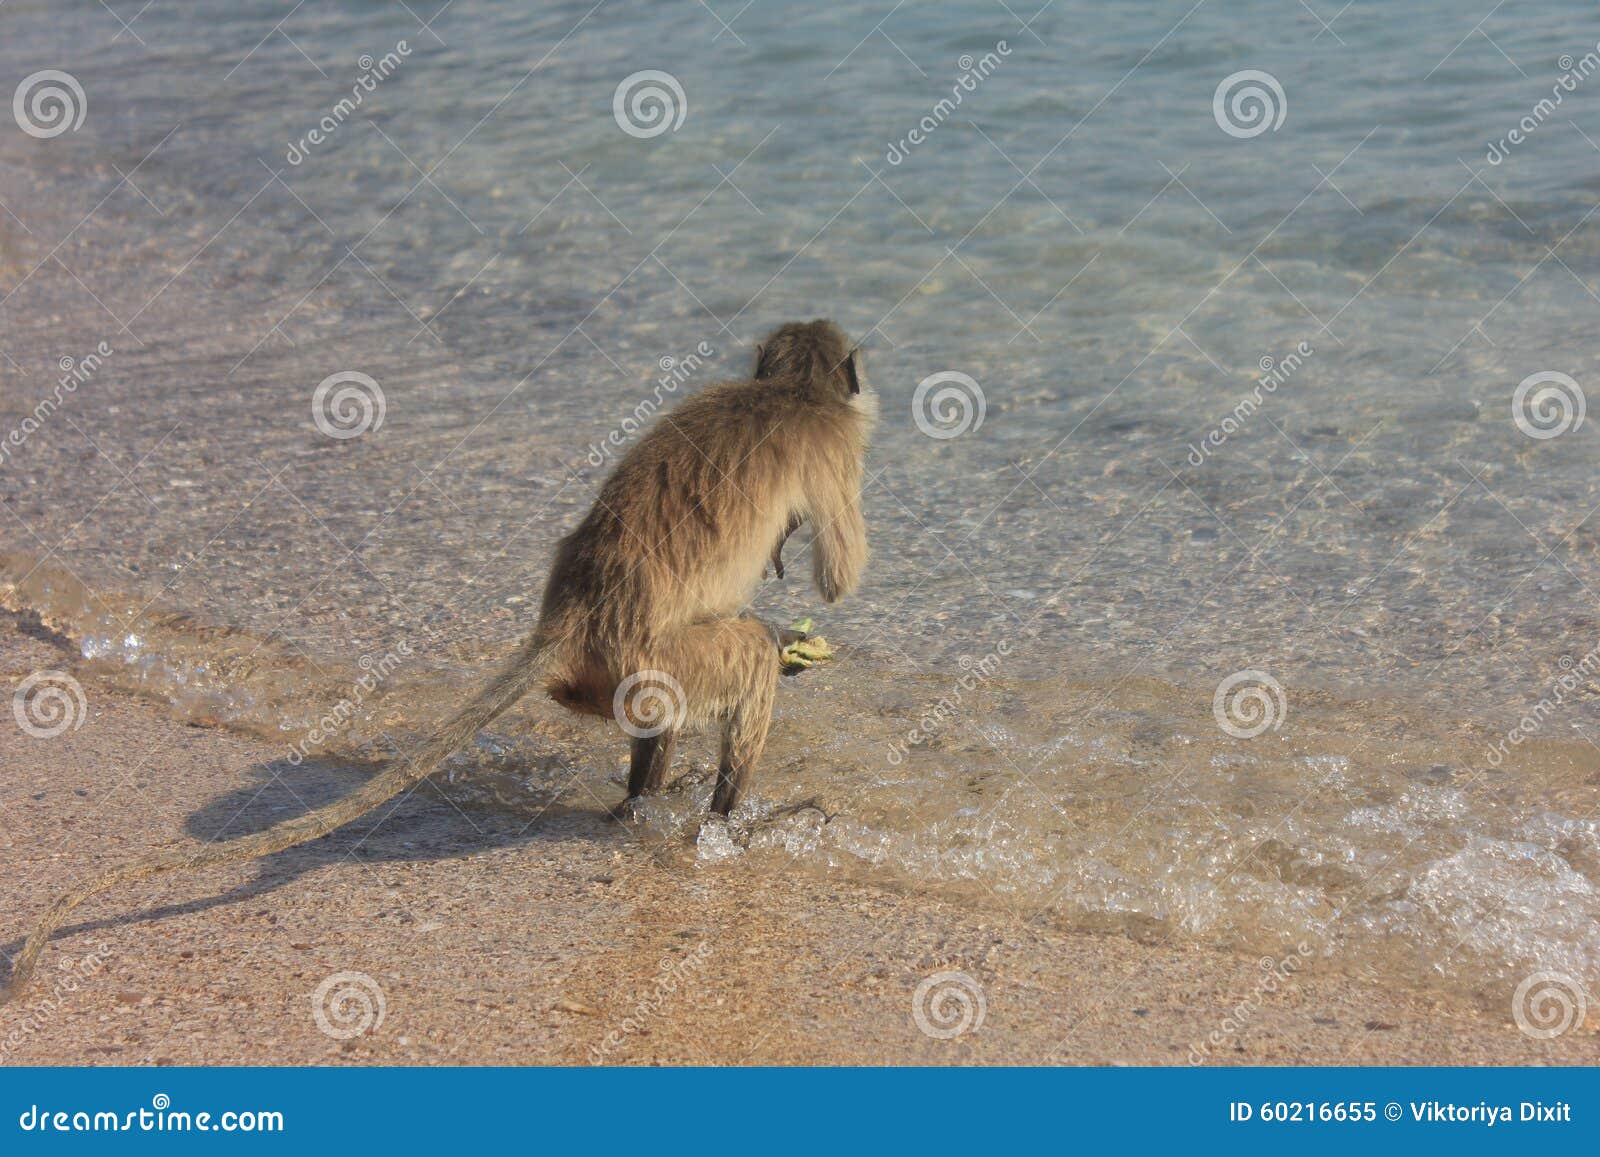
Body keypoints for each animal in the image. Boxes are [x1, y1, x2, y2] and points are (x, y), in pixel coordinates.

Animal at [2, 318, 873, 1002]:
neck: (790, 392)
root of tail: (569, 618)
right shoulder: (833, 446)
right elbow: (839, 573)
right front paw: (800, 625)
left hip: (625, 675)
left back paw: (645, 807)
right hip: (655, 657)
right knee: (747, 655)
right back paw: (726, 821)